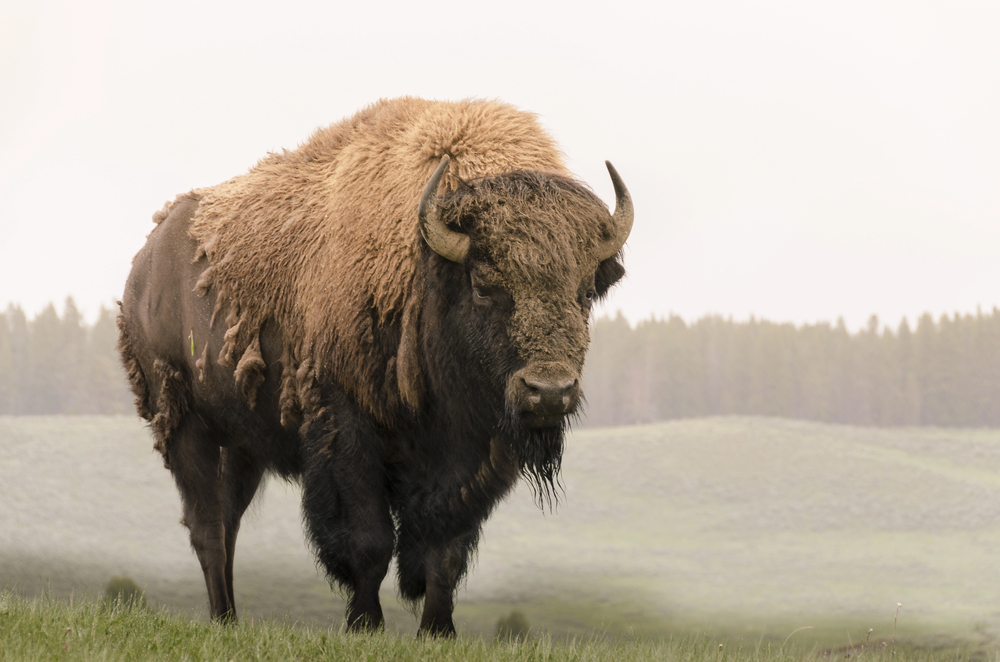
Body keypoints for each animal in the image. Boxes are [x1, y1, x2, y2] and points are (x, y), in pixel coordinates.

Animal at [118, 97, 632, 635]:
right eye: (484, 284)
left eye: (586, 291)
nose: (550, 391)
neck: (427, 271)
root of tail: (145, 263)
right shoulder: (347, 432)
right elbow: (370, 540)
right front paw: (365, 624)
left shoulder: (476, 458)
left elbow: (445, 550)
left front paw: (438, 631)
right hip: (185, 423)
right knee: (208, 526)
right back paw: (223, 617)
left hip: (242, 443)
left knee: (229, 520)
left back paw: (231, 619)